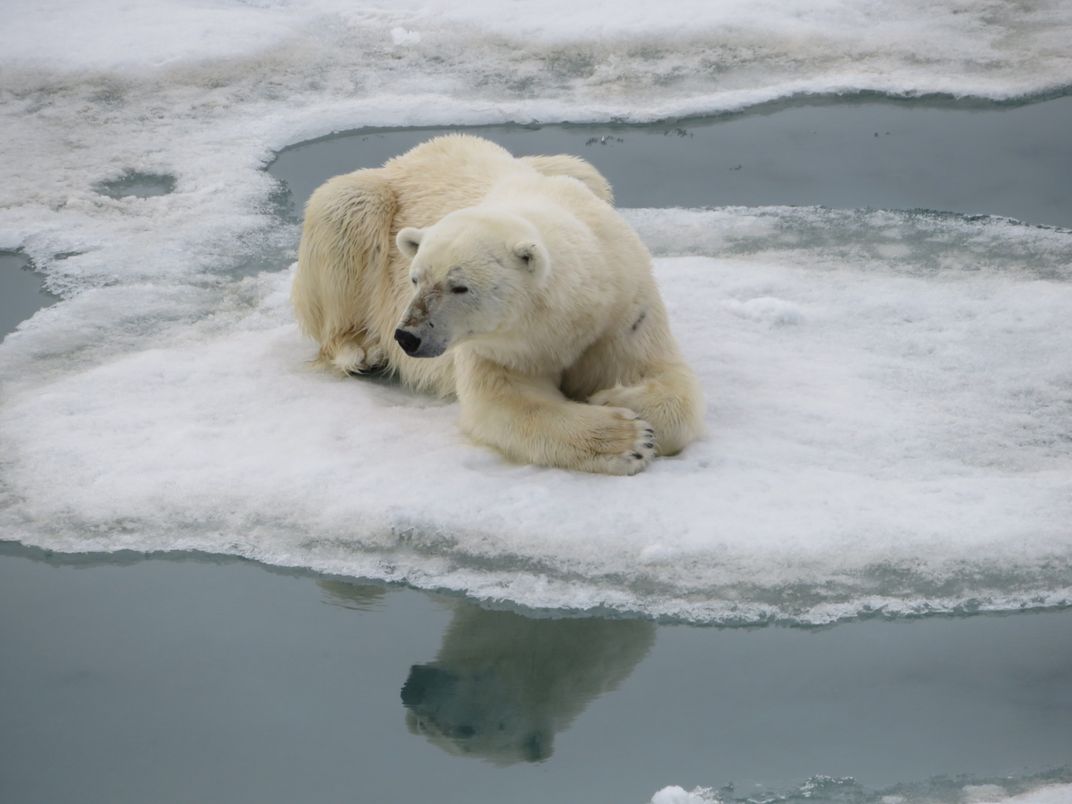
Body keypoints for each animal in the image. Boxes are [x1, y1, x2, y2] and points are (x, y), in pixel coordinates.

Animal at [292, 134, 704, 474]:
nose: (407, 336)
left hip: (569, 170)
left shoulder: (625, 307)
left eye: (460, 287)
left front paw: (612, 396)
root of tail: (412, 152)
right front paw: (629, 438)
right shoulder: (497, 348)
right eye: (414, 278)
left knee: (583, 168)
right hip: (371, 210)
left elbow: (663, 376)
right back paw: (361, 350)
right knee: (344, 206)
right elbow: (506, 404)